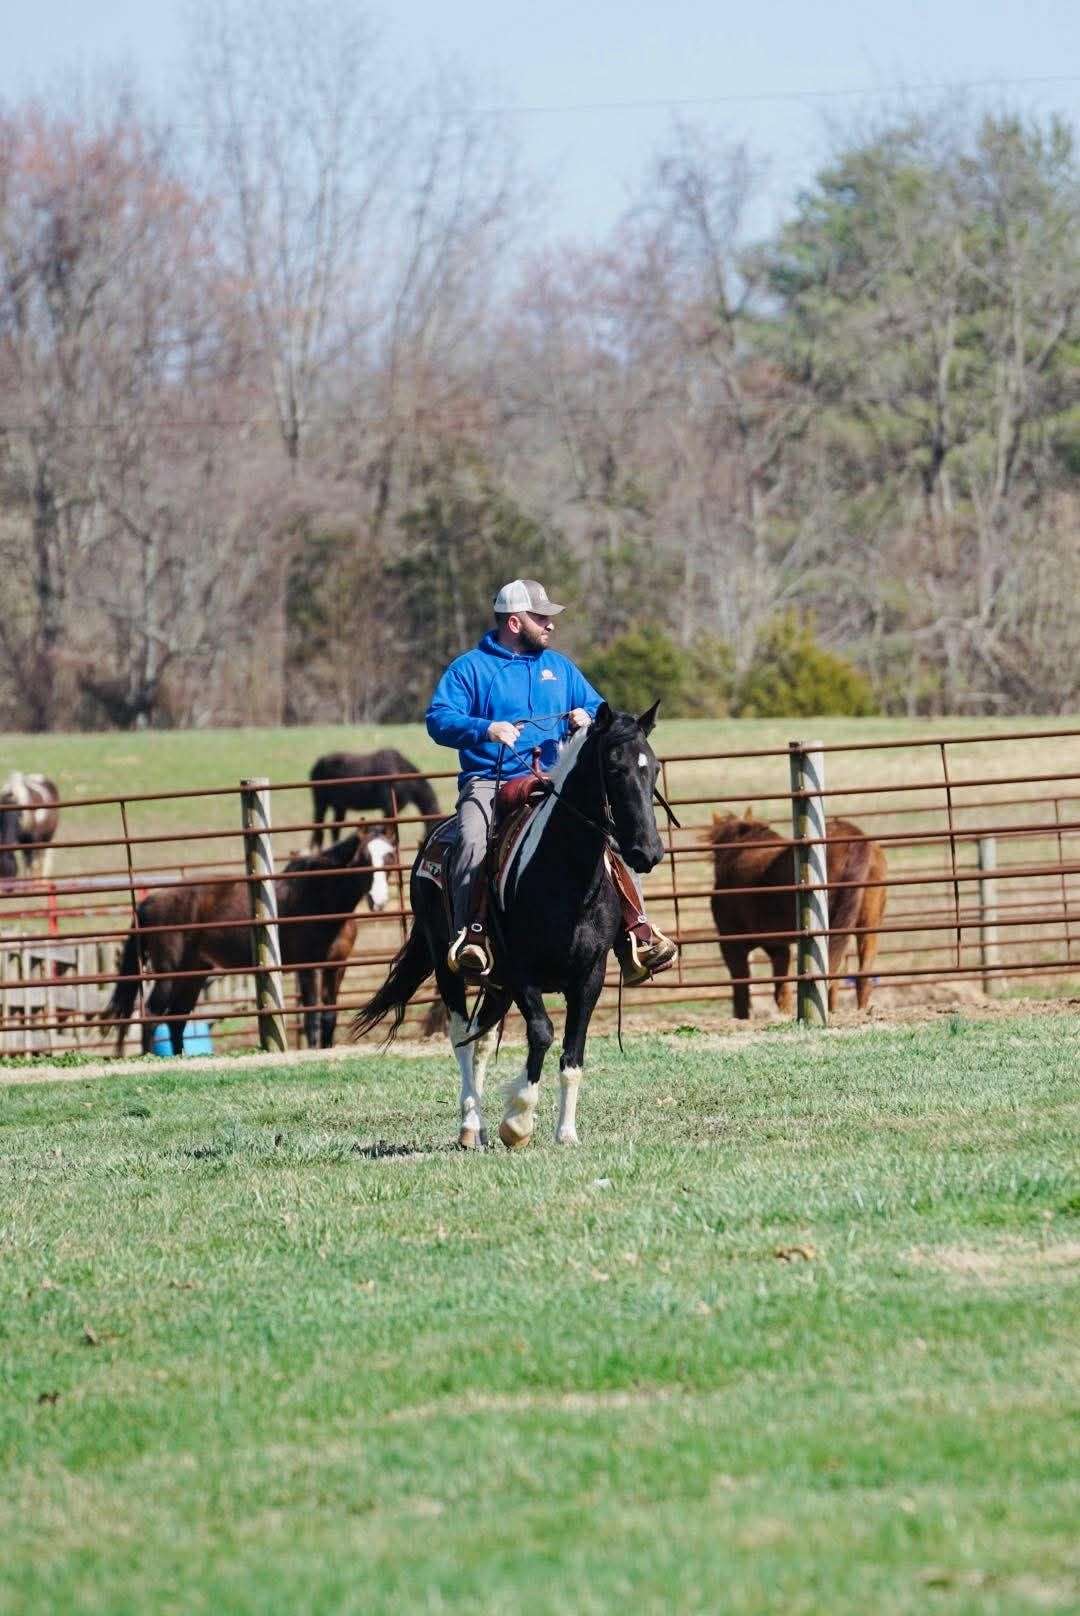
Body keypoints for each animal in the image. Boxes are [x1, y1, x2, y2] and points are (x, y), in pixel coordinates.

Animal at [100, 829, 396, 1055]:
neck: (317, 897)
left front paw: (326, 1047)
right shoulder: (308, 968)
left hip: (194, 974)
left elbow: (329, 1015)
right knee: (152, 1015)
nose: (379, 901)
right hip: (169, 974)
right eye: (364, 859)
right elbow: (312, 1015)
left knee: (176, 1019)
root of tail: (150, 902)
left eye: (390, 856)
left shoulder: (336, 966)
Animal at [309, 750, 439, 848]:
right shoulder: (389, 807)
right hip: (321, 804)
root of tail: (317, 764)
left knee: (333, 830)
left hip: (339, 807)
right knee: (319, 833)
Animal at [352, 702, 666, 1150]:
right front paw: (517, 1122)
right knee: (461, 1037)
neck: (564, 875)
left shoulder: (590, 975)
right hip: (449, 968)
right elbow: (542, 1032)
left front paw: (565, 1133)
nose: (647, 851)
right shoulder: (521, 973)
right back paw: (470, 1127)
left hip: (496, 985)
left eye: (653, 768)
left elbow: (573, 1050)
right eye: (615, 766)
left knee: (481, 1040)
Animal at [706, 811, 887, 1018]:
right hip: (866, 926)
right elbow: (782, 991)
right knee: (860, 978)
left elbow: (742, 990)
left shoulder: (732, 944)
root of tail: (854, 836)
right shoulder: (778, 947)